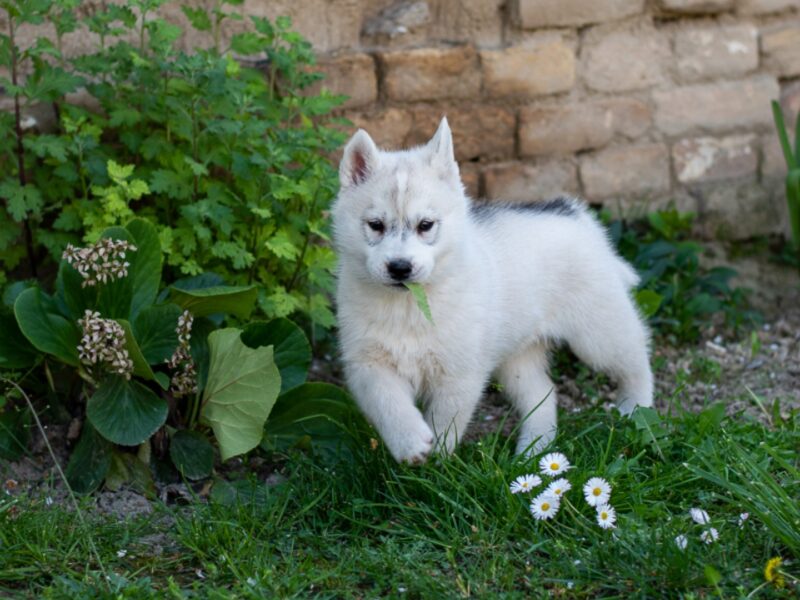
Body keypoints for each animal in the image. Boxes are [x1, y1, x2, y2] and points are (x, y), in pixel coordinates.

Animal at [332, 117, 648, 464]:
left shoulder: (460, 372)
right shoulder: (367, 363)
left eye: (426, 225)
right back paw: (532, 450)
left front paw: (439, 459)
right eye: (375, 225)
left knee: (637, 357)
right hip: (516, 356)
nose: (400, 268)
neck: (408, 307)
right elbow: (387, 401)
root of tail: (576, 214)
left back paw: (637, 409)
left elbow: (446, 418)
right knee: (543, 395)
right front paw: (410, 443)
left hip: (597, 333)